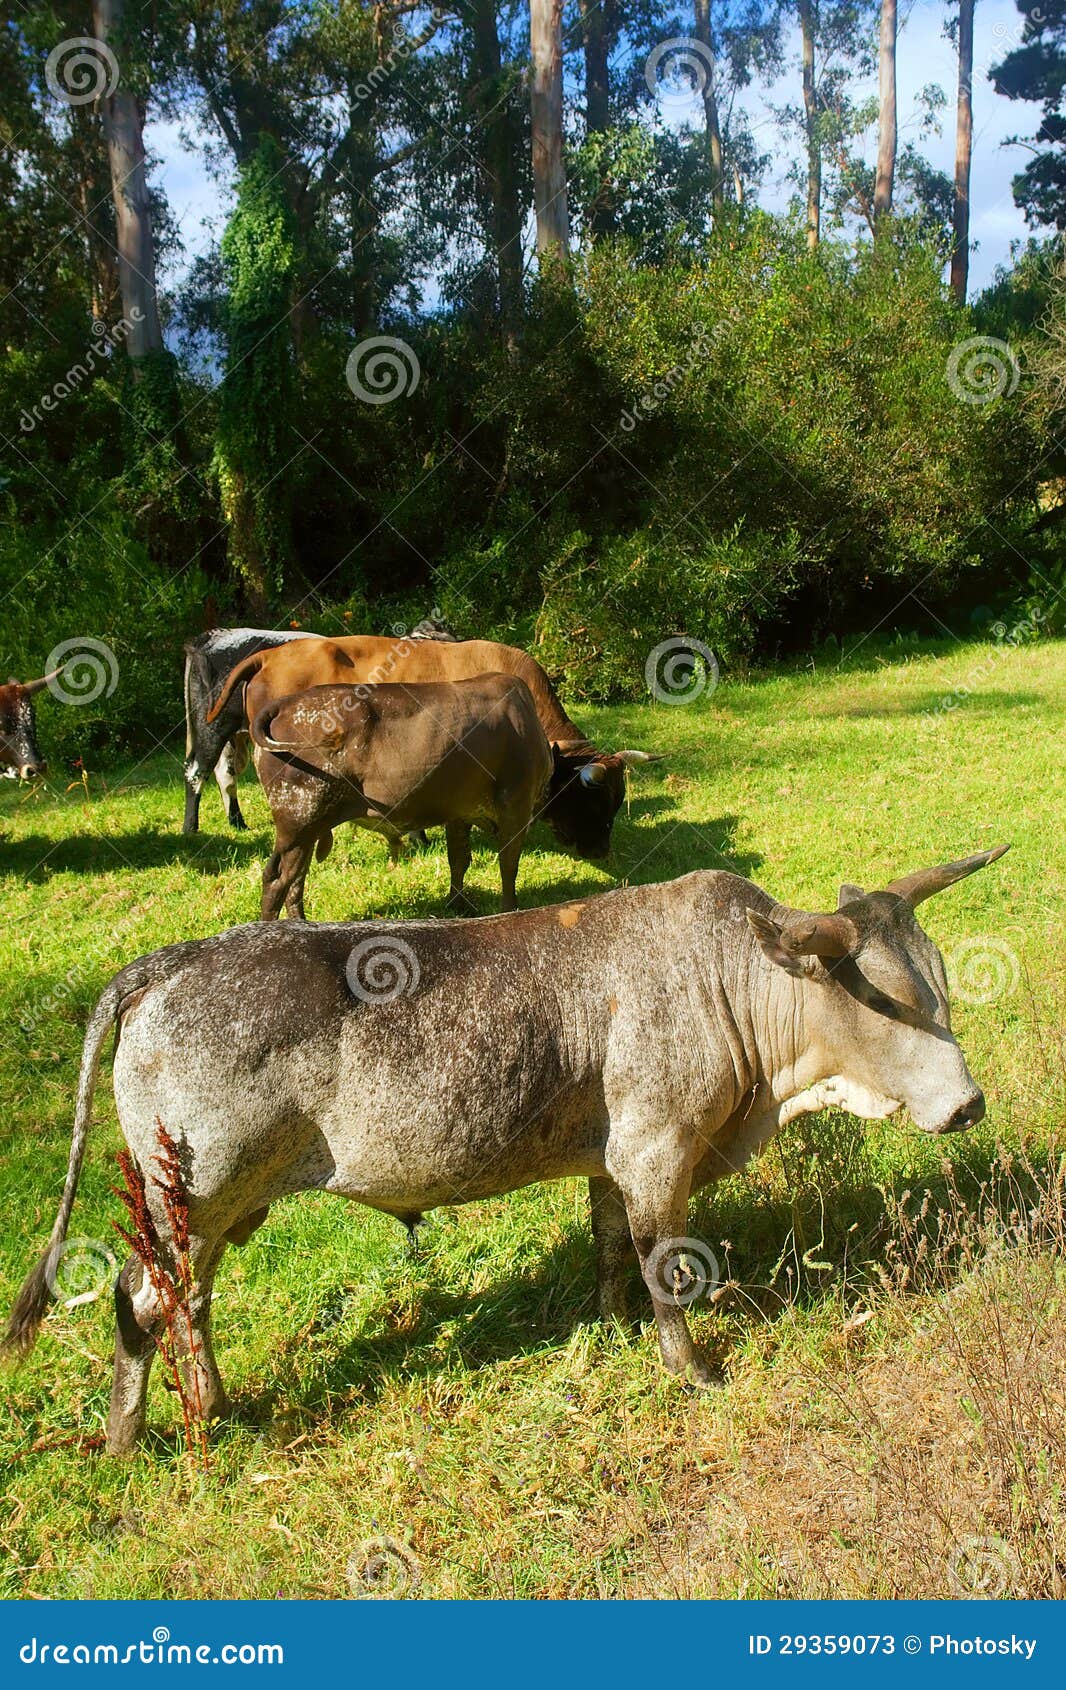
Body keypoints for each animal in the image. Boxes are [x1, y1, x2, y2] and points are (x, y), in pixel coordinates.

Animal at [4, 845, 1007, 1455]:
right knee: (141, 1301)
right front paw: (692, 1370)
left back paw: (191, 1411)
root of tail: (169, 961)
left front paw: (613, 1325)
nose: (968, 1105)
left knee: (188, 1299)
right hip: (191, 1193)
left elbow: (612, 1251)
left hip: (212, 1208)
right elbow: (666, 1265)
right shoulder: (658, 1149)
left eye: (941, 980)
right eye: (889, 998)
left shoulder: (612, 1158)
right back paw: (148, 1433)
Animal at [181, 619, 460, 835]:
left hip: (233, 736)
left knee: (225, 773)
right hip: (213, 727)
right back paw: (190, 828)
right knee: (197, 771)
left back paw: (237, 822)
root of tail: (213, 635)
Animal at [251, 674, 553, 918]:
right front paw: (509, 908)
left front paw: (457, 904)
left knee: (295, 881)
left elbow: (459, 859)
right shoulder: (516, 804)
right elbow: (509, 862)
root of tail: (283, 705)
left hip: (306, 832)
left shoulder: (460, 811)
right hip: (298, 822)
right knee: (277, 880)